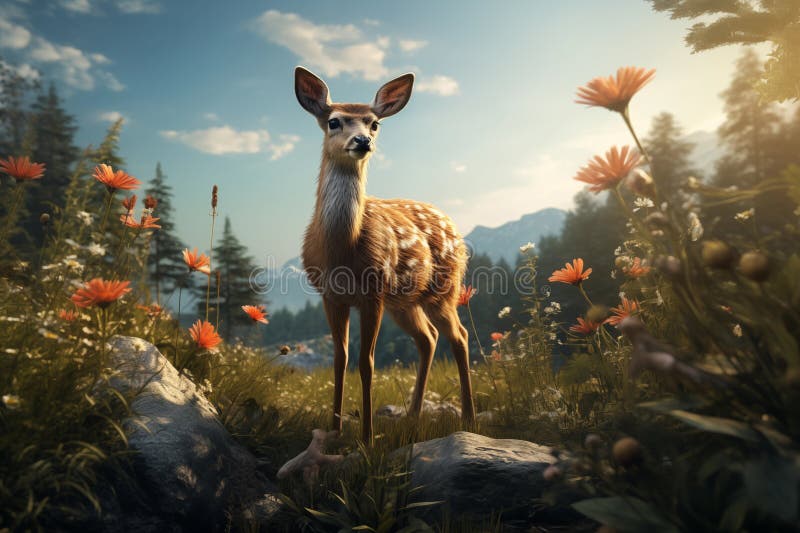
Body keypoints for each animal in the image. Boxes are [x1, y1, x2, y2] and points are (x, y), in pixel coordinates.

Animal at [294, 66, 476, 442]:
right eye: (334, 121)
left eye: (374, 123)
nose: (362, 141)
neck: (341, 251)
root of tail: (454, 226)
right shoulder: (330, 296)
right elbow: (340, 360)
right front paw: (334, 430)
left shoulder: (373, 292)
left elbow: (367, 362)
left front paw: (366, 437)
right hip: (404, 302)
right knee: (428, 339)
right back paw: (413, 416)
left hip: (443, 290)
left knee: (459, 336)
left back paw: (468, 418)